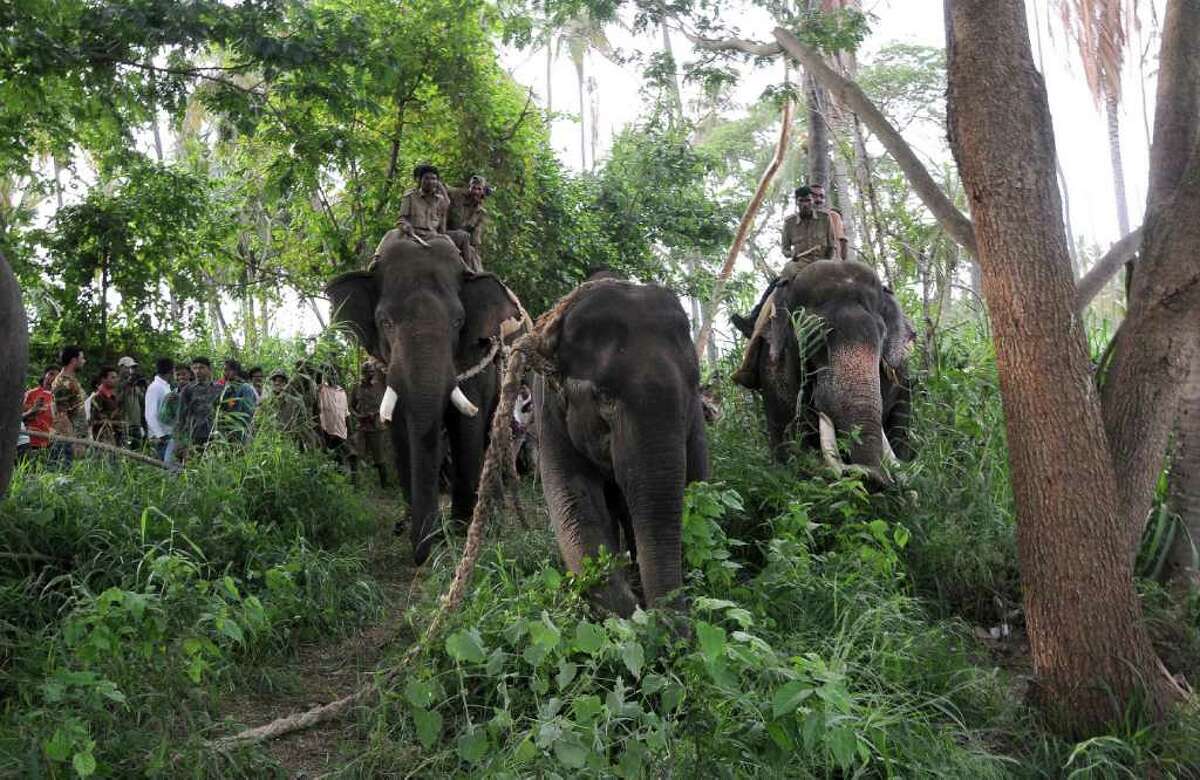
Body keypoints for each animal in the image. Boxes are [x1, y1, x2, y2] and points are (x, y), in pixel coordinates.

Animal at [325, 234, 521, 564]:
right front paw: (414, 531)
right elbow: (401, 432)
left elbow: (466, 429)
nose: (422, 556)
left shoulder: (474, 354)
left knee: (489, 435)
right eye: (385, 322)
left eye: (458, 321)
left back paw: (490, 519)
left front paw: (459, 530)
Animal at [532, 279, 709, 617]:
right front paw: (631, 613)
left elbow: (696, 485)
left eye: (692, 388)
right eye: (604, 396)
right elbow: (573, 503)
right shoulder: (548, 411)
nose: (655, 613)